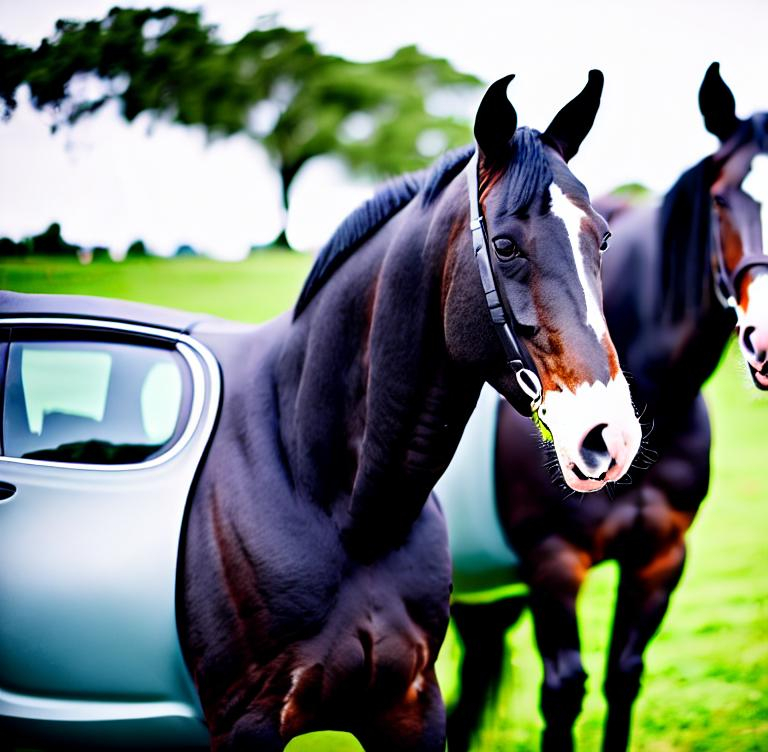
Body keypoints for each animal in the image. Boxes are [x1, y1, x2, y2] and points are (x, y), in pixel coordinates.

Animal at [441, 62, 768, 752]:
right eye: (721, 200)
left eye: (605, 240)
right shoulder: (553, 566)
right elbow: (564, 693)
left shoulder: (659, 558)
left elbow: (624, 678)